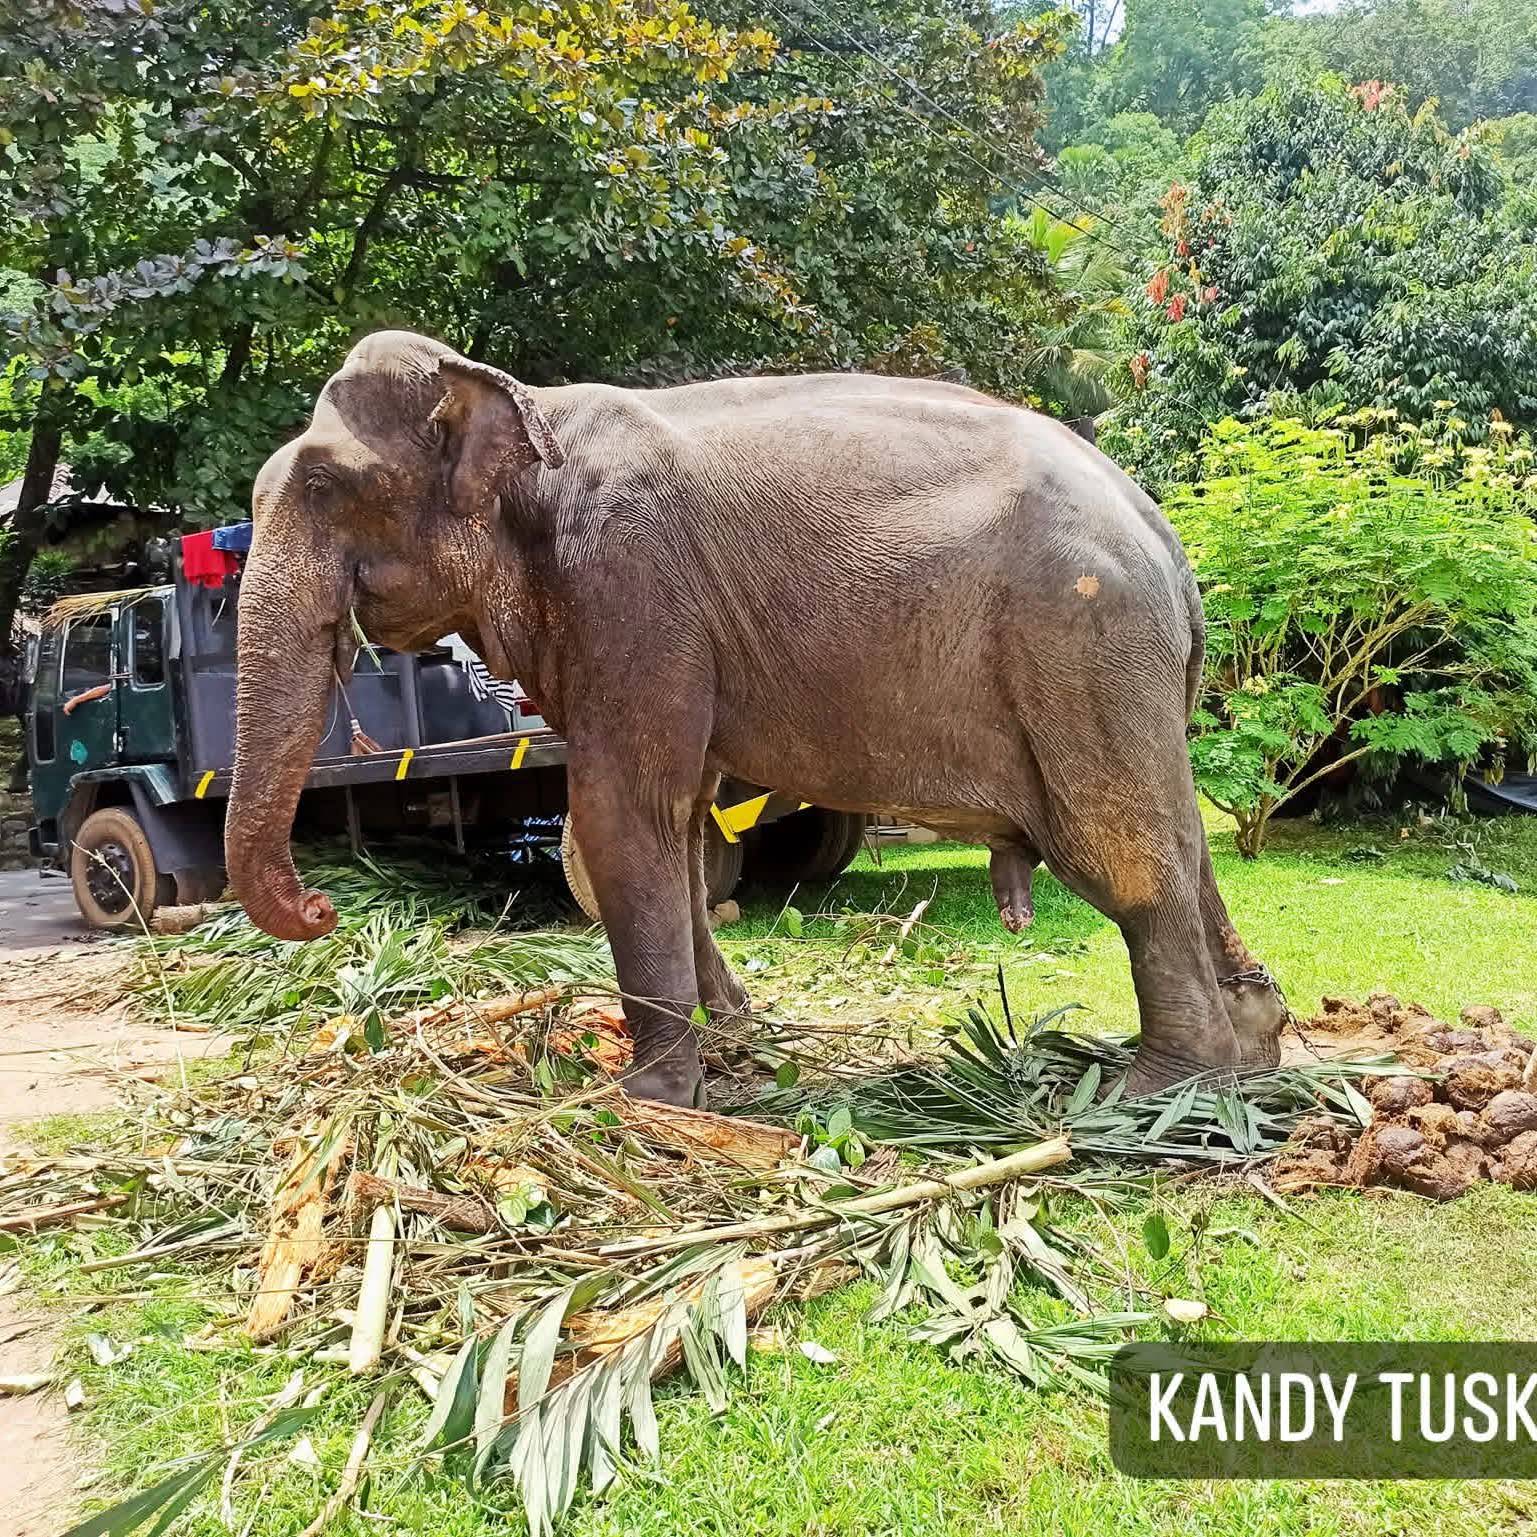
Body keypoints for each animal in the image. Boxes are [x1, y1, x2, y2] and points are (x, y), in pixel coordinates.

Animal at [225, 329, 1286, 1106]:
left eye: (322, 487)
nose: (324, 908)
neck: (531, 405)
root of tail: (1164, 535)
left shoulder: (629, 590)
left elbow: (618, 820)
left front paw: (647, 1102)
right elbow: (678, 821)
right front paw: (730, 1032)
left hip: (1079, 644)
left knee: (1122, 851)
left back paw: (1156, 1093)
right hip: (1119, 669)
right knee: (1182, 835)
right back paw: (1252, 1049)